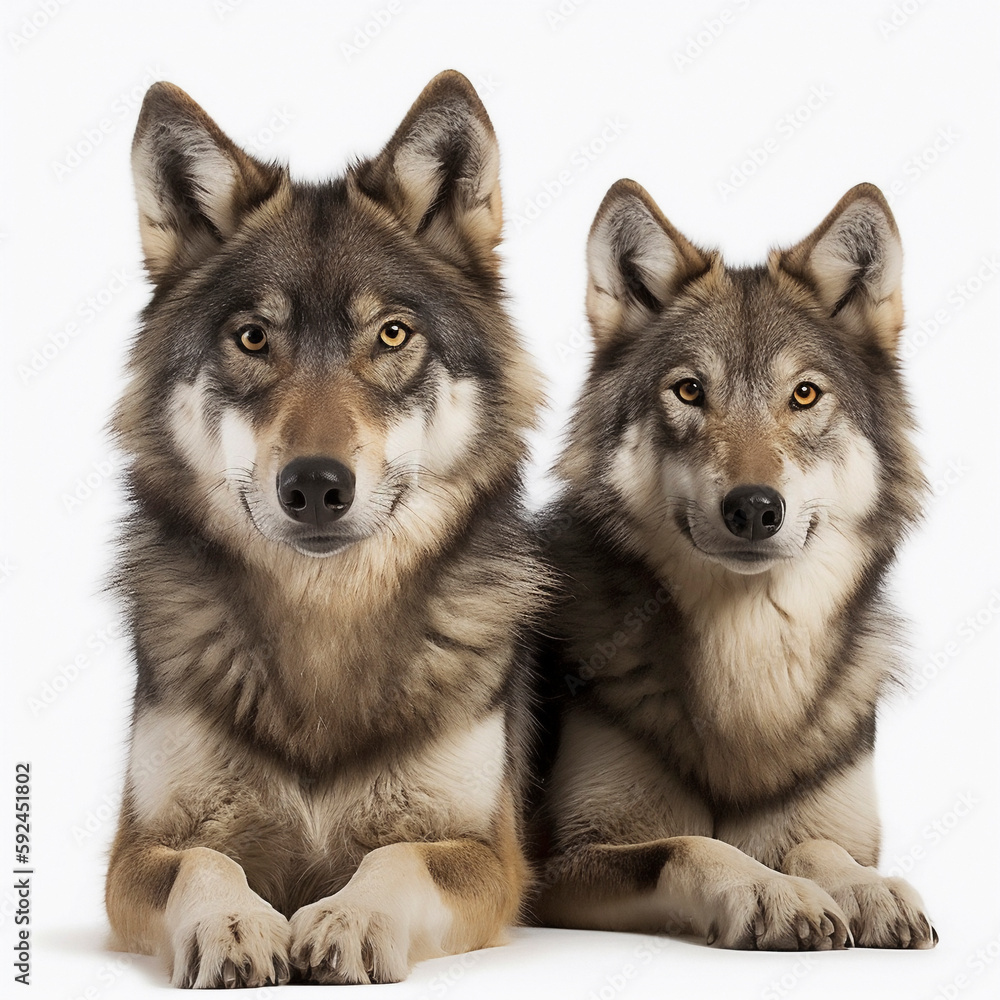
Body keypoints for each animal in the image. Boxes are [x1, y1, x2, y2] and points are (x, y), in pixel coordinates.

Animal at [105, 71, 546, 987]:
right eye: (252, 338)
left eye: (391, 334)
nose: (314, 485)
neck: (324, 618)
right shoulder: (137, 851)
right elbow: (208, 863)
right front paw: (235, 926)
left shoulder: (487, 856)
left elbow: (394, 859)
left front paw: (348, 918)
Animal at [534, 179, 936, 950]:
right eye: (690, 391)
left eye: (804, 394)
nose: (753, 508)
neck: (748, 653)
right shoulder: (562, 861)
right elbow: (690, 846)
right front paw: (771, 893)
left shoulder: (837, 826)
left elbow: (818, 846)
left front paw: (869, 891)